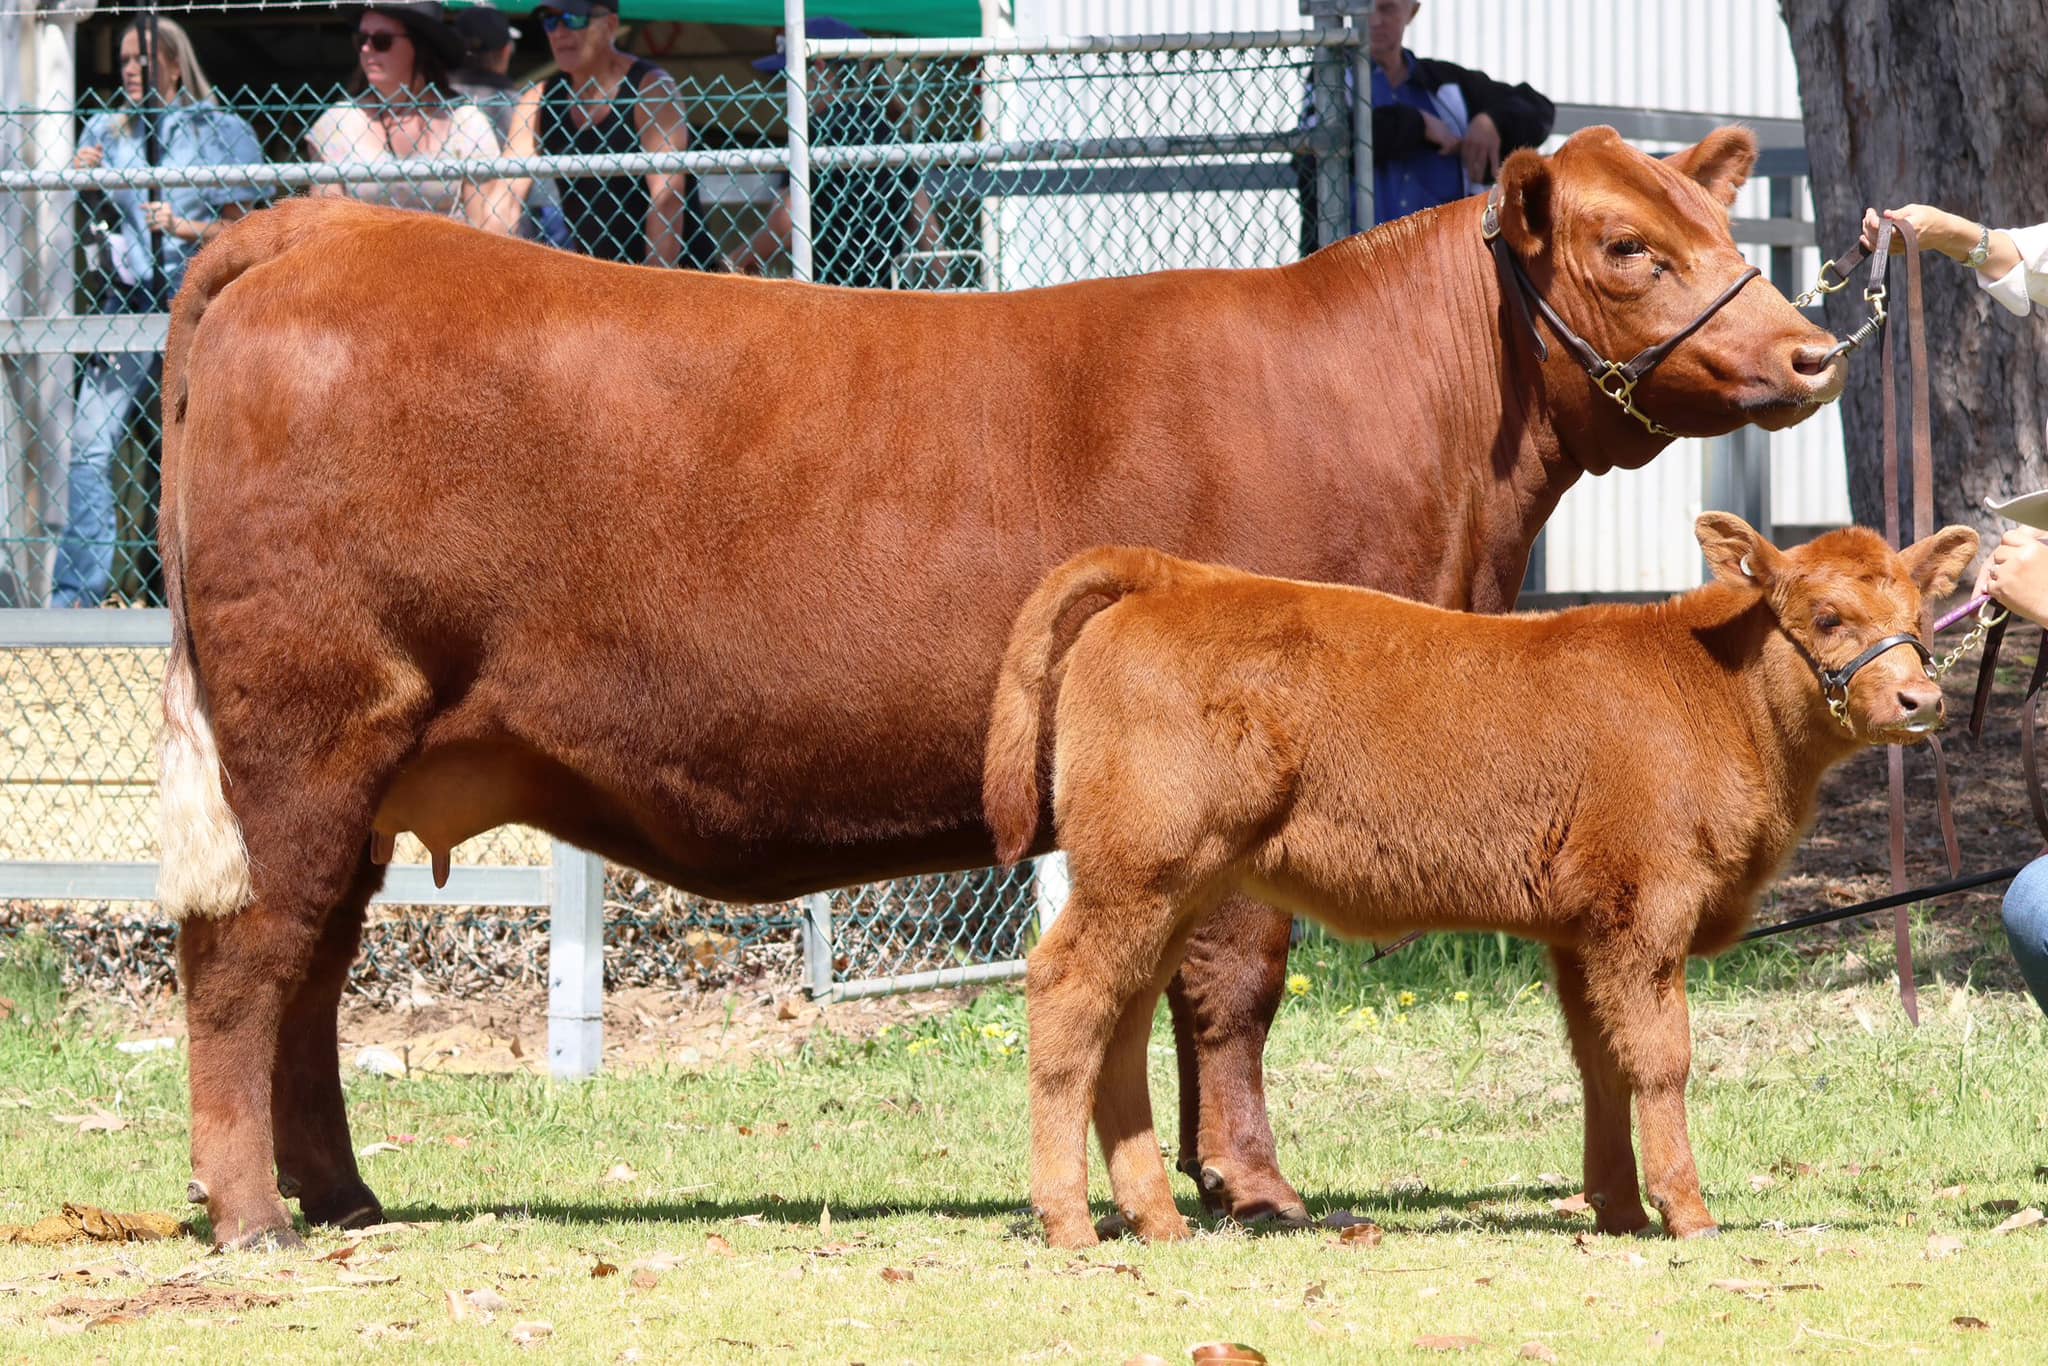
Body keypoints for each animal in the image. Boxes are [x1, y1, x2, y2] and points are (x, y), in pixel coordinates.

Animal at [157, 125, 1844, 1247]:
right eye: (1630, 249)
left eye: (1722, 222)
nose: (1816, 349)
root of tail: (326, 230)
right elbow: (1234, 982)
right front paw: (1258, 1189)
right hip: (302, 731)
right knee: (245, 960)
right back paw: (255, 1215)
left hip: (360, 768)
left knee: (309, 970)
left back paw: (343, 1192)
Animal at [981, 517, 1979, 1248]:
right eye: (1826, 616)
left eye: (1920, 612)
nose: (1921, 701)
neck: (1716, 693)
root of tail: (1178, 578)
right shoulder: (1645, 909)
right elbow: (1660, 1058)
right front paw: (1687, 1212)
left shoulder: (1584, 928)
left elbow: (1600, 1061)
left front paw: (1618, 1208)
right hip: (1138, 870)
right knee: (1068, 988)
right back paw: (1068, 1221)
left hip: (1169, 887)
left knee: (1123, 1015)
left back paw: (1155, 1219)